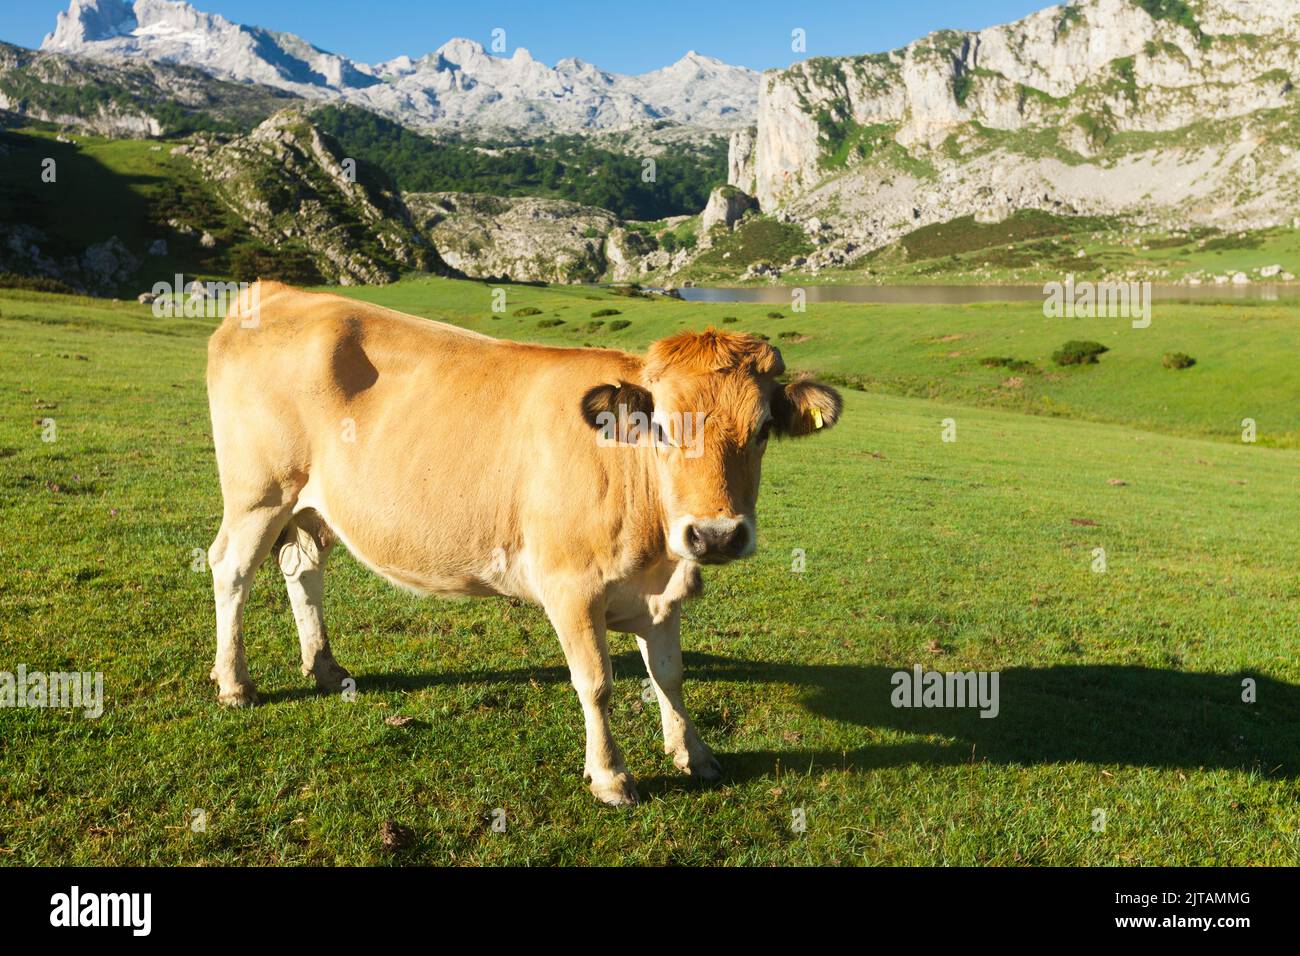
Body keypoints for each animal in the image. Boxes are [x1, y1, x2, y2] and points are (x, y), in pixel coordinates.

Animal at [205, 281, 842, 805]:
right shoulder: (570, 585)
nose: (714, 535)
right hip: (260, 492)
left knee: (302, 567)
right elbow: (597, 683)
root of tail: (275, 291)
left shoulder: (664, 593)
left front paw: (694, 753)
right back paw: (235, 684)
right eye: (660, 427)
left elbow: (670, 674)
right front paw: (610, 777)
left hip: (312, 505)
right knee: (231, 569)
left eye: (763, 429)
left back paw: (326, 668)